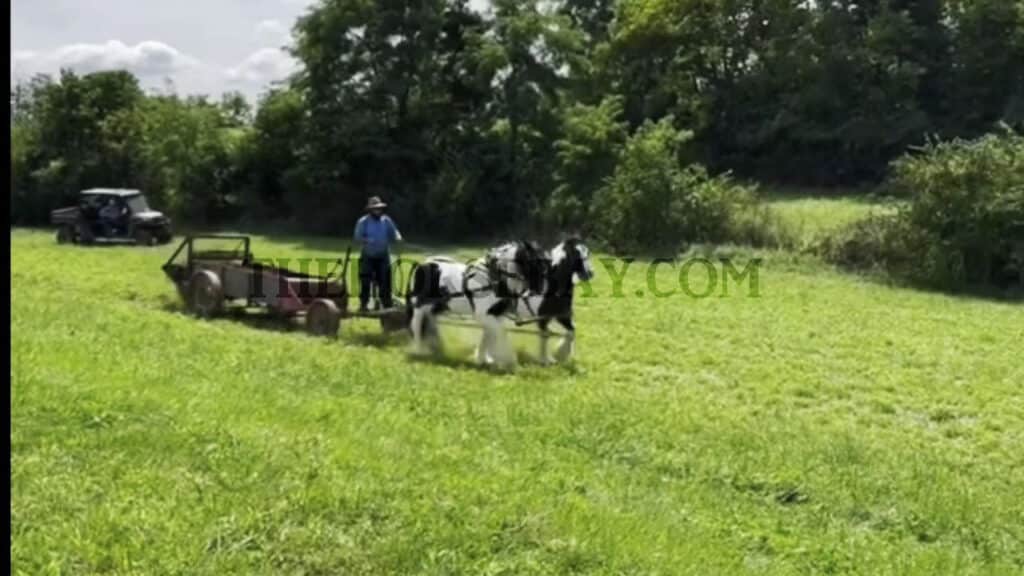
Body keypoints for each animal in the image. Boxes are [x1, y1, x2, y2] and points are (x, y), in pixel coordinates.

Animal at [406, 238, 595, 368]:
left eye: (587, 254)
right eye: (578, 255)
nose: (590, 274)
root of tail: (424, 264)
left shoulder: (558, 316)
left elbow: (570, 332)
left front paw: (485, 358)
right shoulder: (539, 318)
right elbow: (506, 334)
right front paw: (509, 360)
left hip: (436, 307)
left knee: (429, 323)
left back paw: (435, 346)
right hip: (420, 307)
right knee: (417, 326)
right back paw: (419, 351)